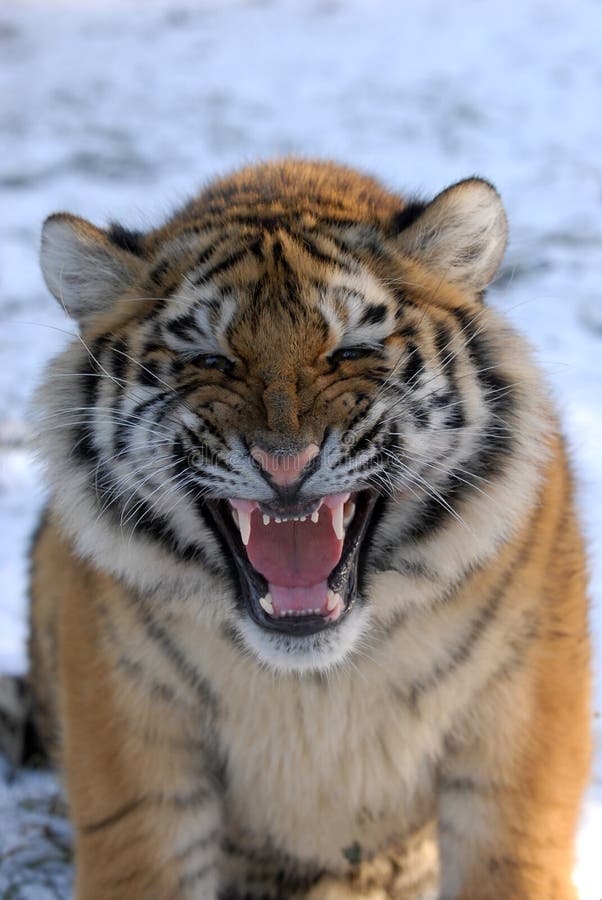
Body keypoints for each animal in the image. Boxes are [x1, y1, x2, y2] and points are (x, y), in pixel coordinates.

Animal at [18, 158, 591, 899]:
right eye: (209, 357)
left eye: (351, 350)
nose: (284, 460)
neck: (317, 679)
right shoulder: (135, 753)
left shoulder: (515, 741)